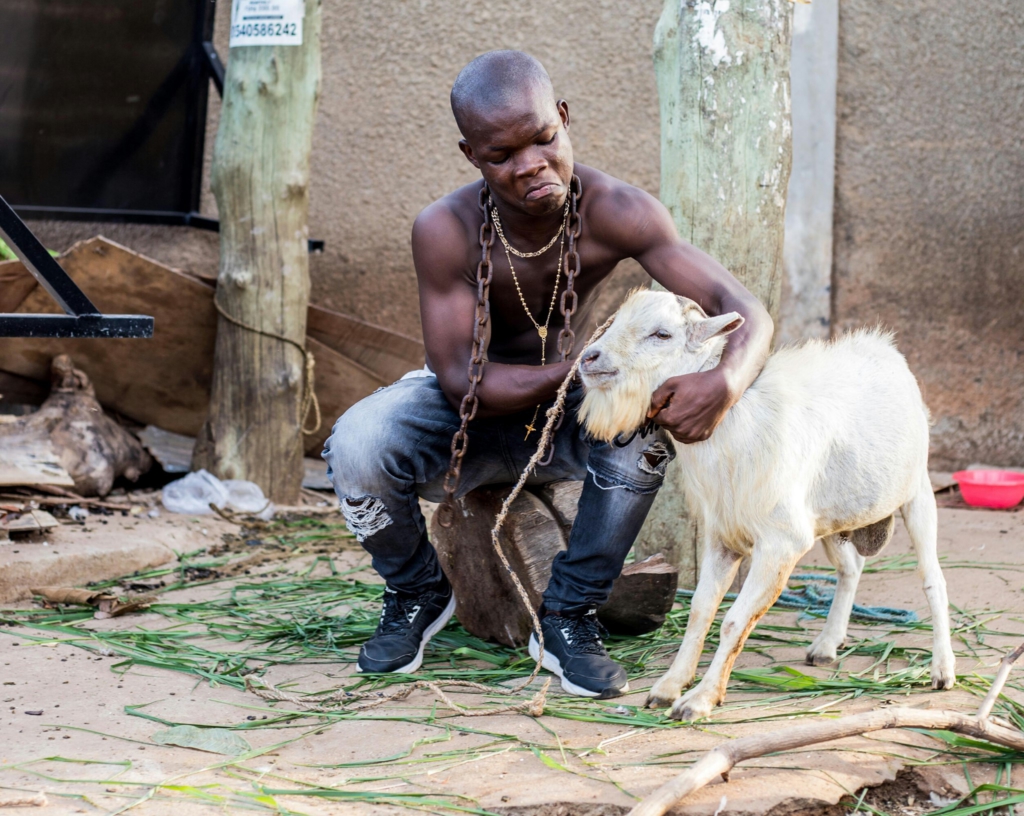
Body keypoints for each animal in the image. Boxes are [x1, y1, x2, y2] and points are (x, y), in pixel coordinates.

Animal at [577, 289, 955, 721]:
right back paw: (826, 645)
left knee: (933, 579)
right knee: (851, 568)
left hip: (917, 492)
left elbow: (734, 620)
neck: (732, 425)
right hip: (833, 520)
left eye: (662, 334)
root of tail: (885, 348)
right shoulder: (722, 538)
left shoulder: (780, 544)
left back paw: (942, 669)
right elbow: (700, 611)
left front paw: (700, 700)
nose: (590, 357)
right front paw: (669, 687)